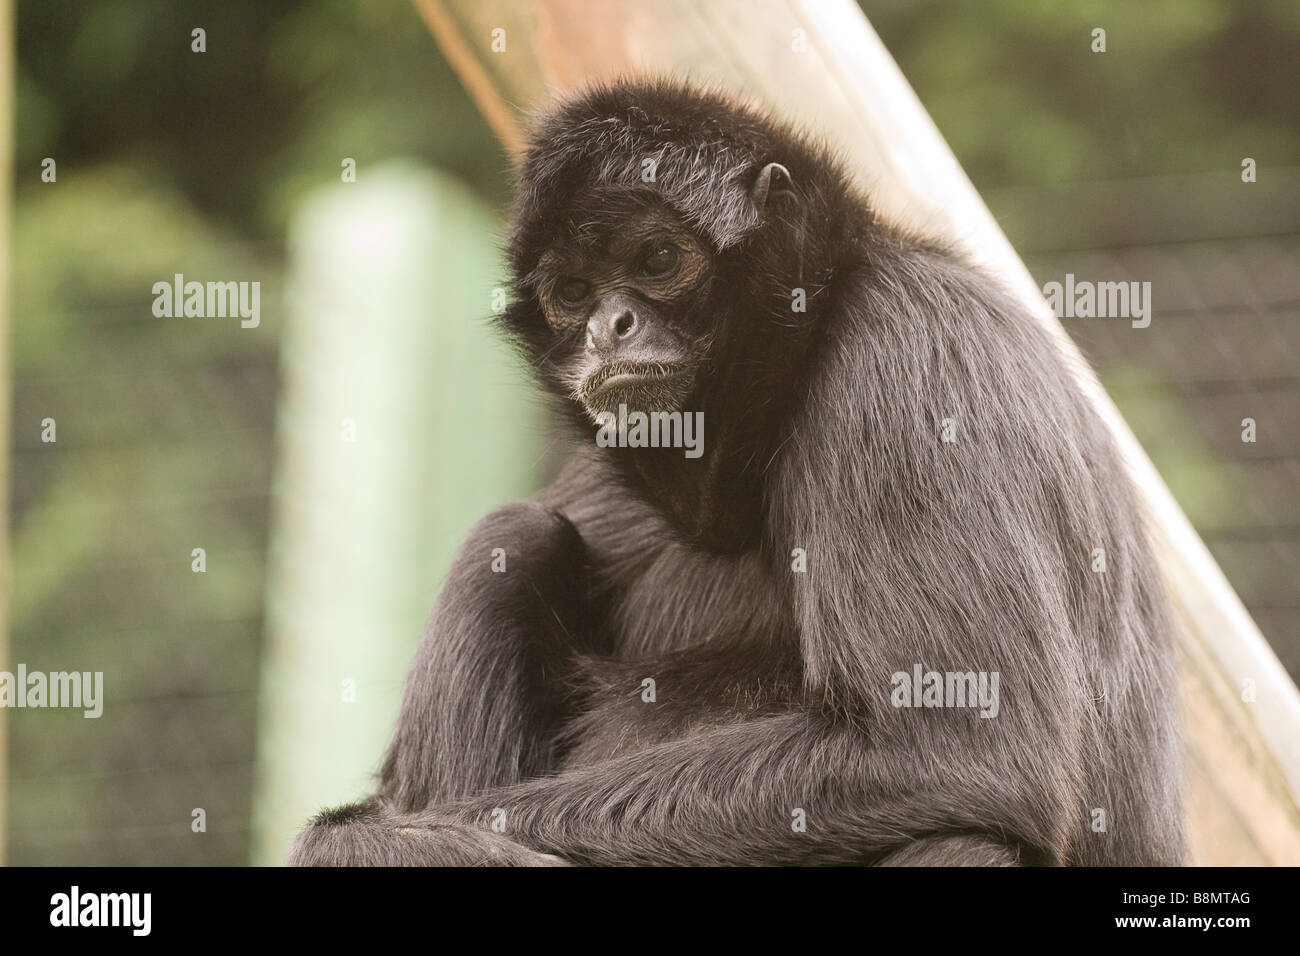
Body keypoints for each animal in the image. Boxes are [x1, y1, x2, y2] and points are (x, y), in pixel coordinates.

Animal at [288, 80, 1184, 867]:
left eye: (657, 259)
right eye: (572, 292)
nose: (610, 327)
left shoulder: (908, 355)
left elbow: (963, 746)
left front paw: (367, 843)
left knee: (964, 838)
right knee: (510, 538)